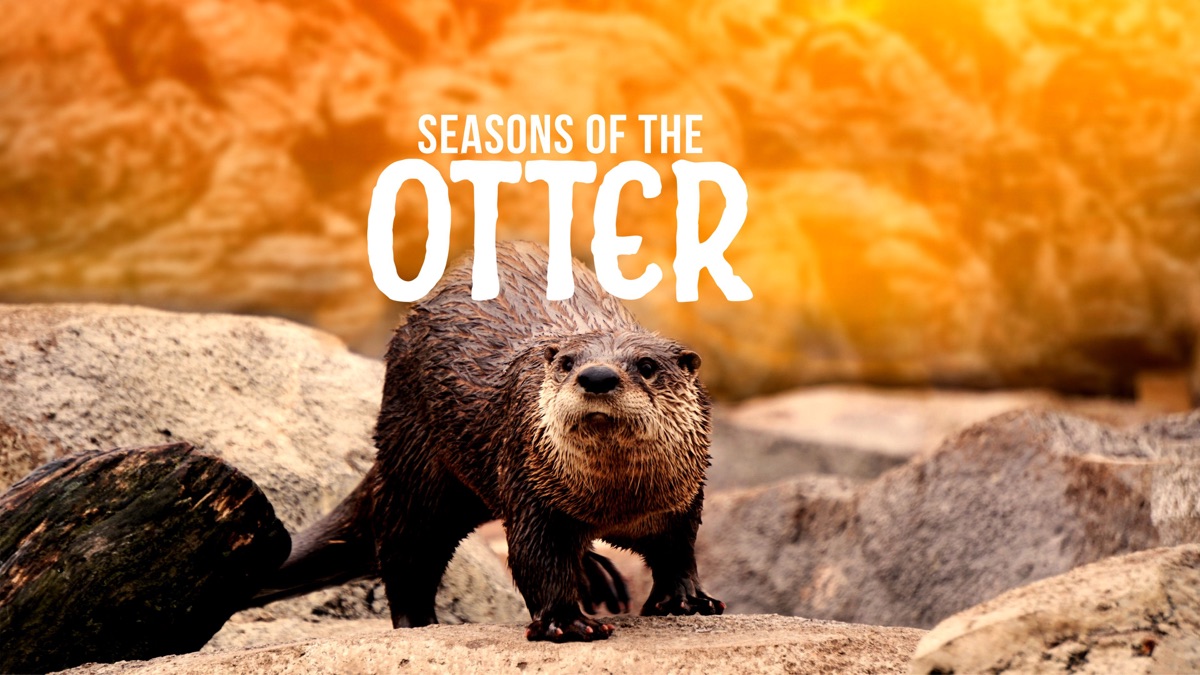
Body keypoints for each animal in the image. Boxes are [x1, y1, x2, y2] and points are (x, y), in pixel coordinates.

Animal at [252, 241, 723, 641]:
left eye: (647, 365)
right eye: (567, 362)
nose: (596, 376)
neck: (615, 503)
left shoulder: (682, 500)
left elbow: (679, 550)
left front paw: (688, 600)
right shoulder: (532, 490)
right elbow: (537, 559)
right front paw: (567, 622)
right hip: (417, 467)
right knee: (405, 549)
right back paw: (418, 623)